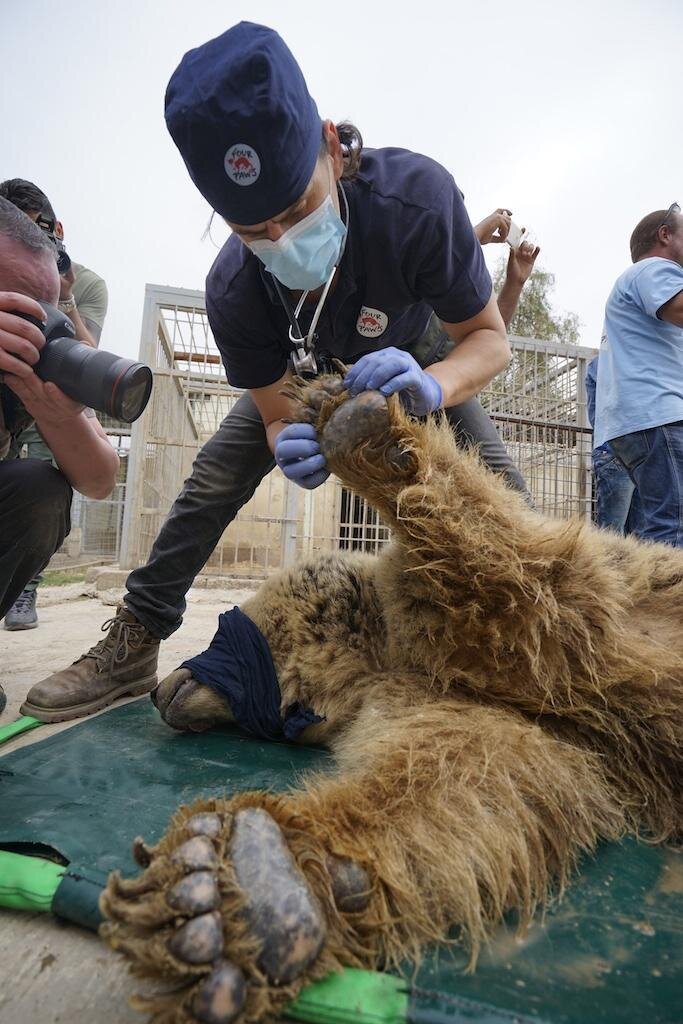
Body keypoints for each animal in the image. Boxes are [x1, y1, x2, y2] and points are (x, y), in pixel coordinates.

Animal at [100, 377, 683, 1024]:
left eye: (224, 625)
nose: (158, 690)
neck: (377, 654)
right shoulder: (506, 720)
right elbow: (469, 778)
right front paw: (248, 887)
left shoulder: (572, 611)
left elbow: (510, 575)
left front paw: (361, 431)